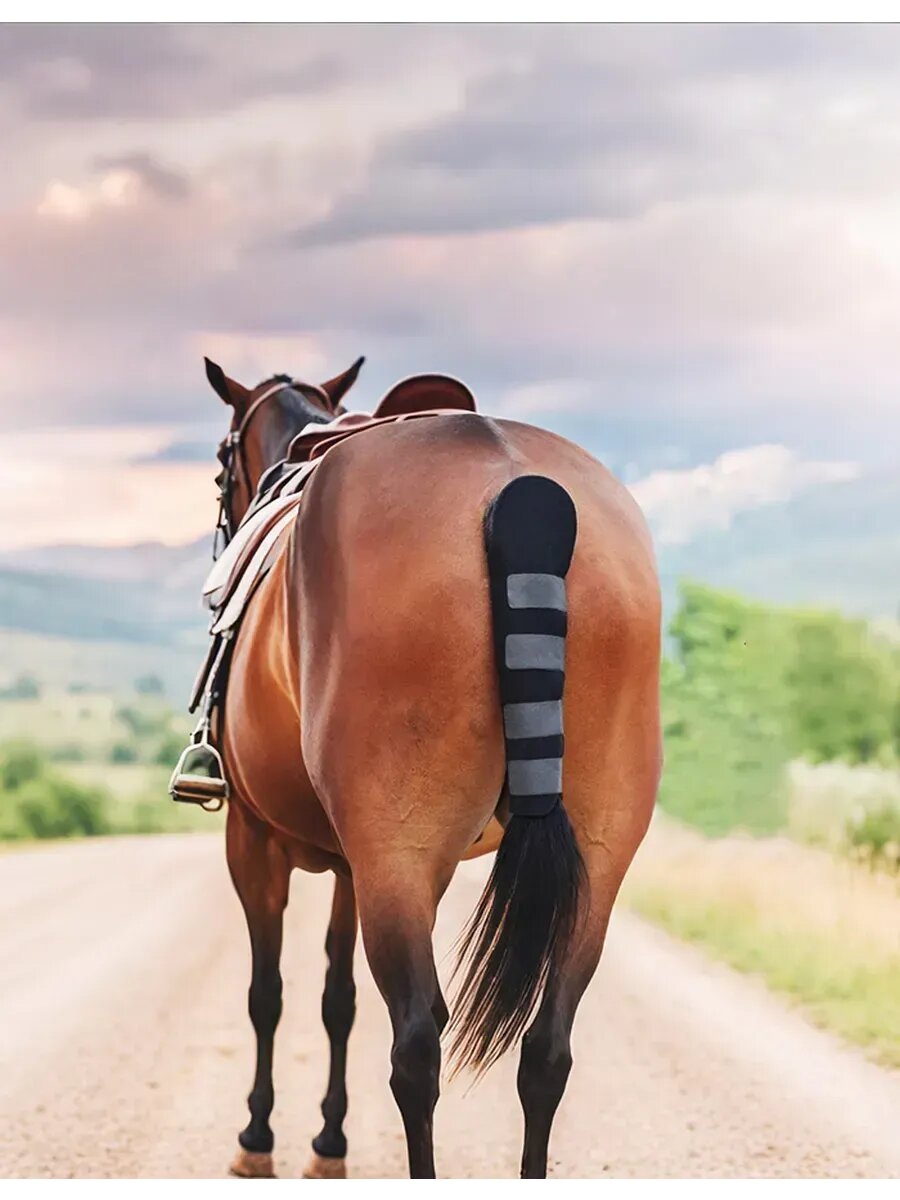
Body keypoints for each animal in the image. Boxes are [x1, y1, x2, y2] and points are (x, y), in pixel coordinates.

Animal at [199, 355, 662, 1179]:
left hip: (398, 850)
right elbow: (335, 997)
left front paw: (261, 1138)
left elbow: (270, 993)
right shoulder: (352, 863)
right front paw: (328, 1139)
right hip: (598, 851)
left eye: (223, 463)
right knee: (548, 1049)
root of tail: (521, 489)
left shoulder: (257, 842)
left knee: (416, 1045)